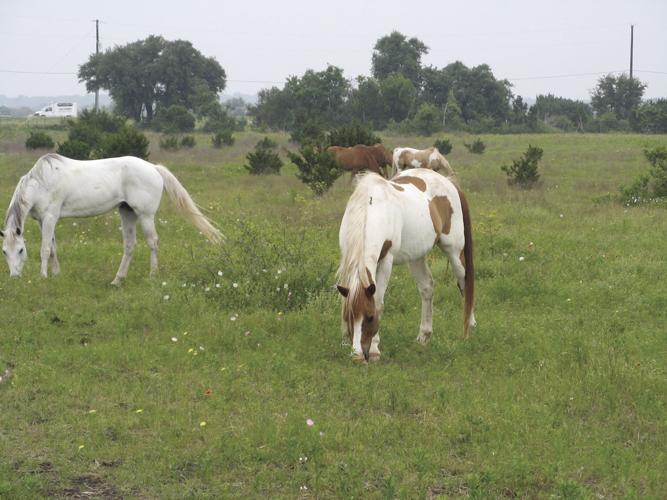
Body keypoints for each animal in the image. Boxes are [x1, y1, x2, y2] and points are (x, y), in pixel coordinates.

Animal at [1, 153, 222, 284]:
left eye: (20, 250)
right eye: (4, 252)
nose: (14, 277)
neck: (41, 183)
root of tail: (153, 168)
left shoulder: (50, 218)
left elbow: (45, 249)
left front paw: (44, 276)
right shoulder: (42, 221)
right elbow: (53, 247)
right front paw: (56, 274)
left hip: (145, 215)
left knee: (152, 242)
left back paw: (152, 275)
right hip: (127, 212)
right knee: (130, 245)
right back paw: (117, 280)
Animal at [336, 169, 475, 362]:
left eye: (370, 317)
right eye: (348, 316)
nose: (358, 356)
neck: (370, 209)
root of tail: (449, 182)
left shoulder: (386, 261)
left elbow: (378, 302)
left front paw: (375, 350)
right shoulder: (348, 259)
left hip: (454, 250)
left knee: (464, 284)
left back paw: (470, 327)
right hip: (416, 256)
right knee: (427, 288)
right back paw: (424, 336)